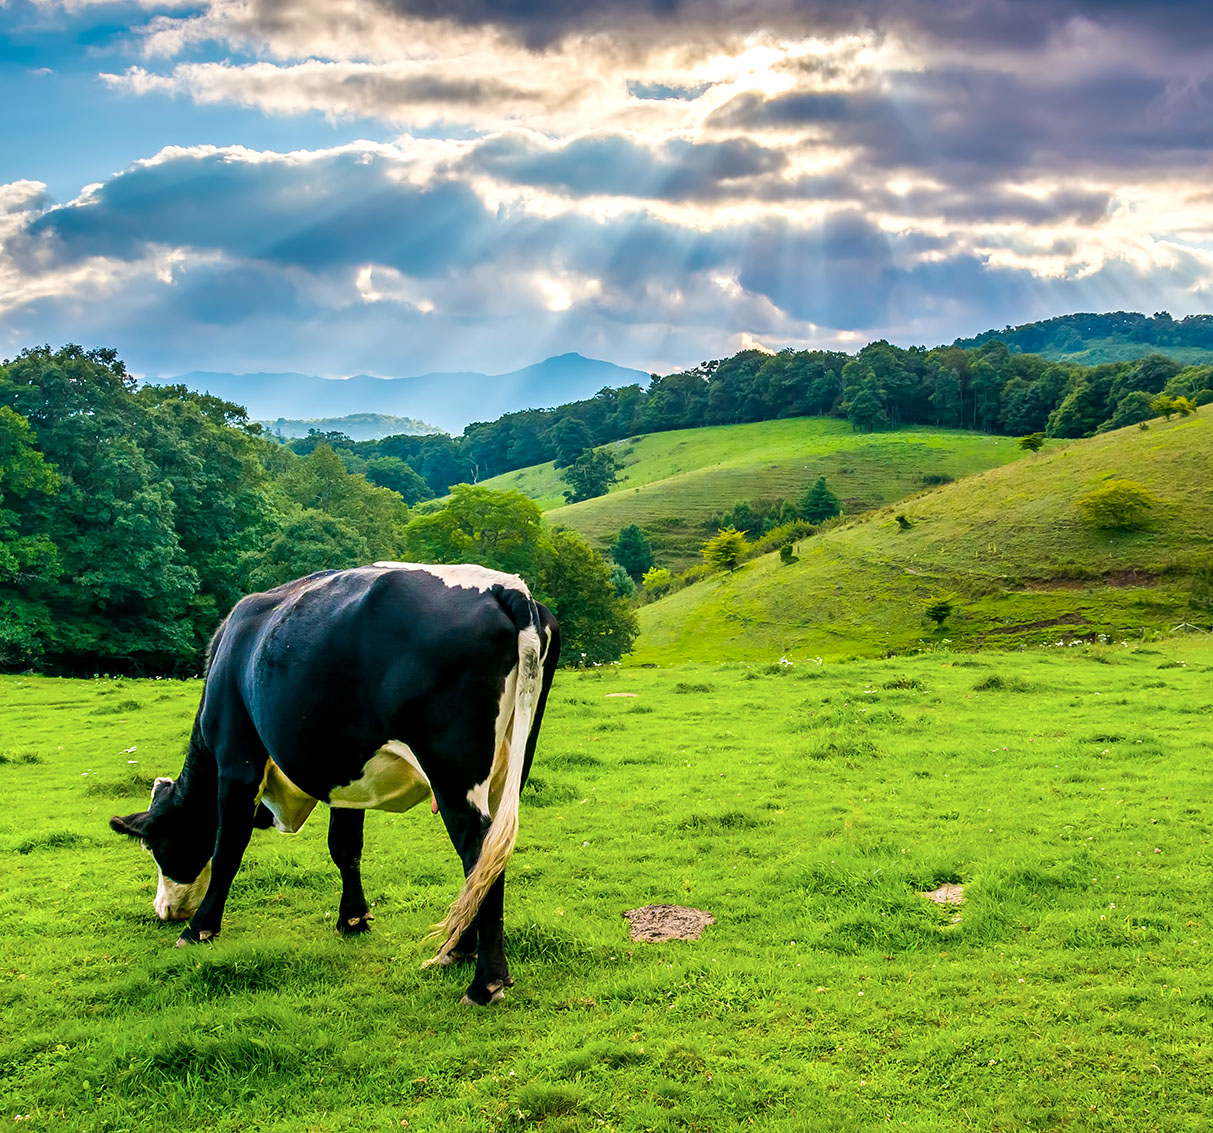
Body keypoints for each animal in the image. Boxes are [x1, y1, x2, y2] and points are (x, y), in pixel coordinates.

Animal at [109, 562, 560, 1006]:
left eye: (155, 847)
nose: (164, 911)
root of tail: (504, 587)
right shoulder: (348, 773)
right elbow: (345, 848)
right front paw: (354, 917)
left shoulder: (237, 760)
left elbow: (227, 850)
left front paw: (199, 929)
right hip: (509, 765)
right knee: (486, 861)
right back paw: (459, 949)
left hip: (453, 774)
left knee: (478, 851)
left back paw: (485, 982)